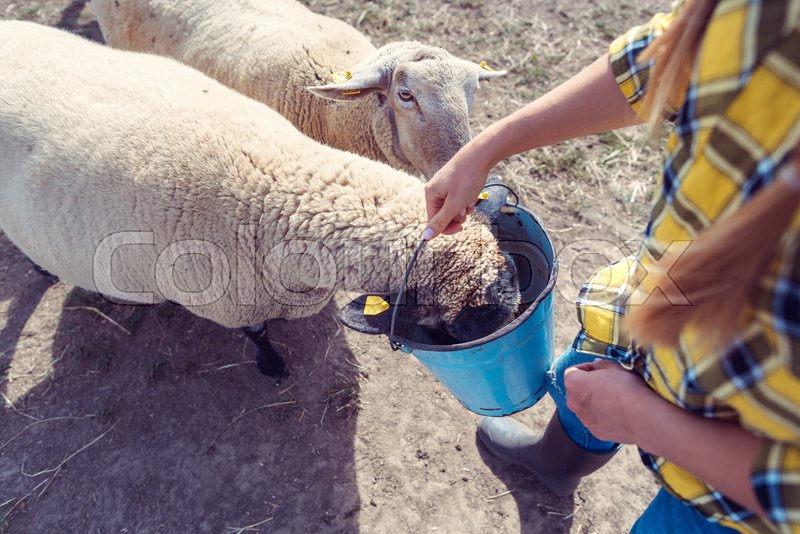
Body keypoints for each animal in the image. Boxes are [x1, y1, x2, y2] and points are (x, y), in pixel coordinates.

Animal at [0, 21, 520, 382]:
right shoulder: (230, 303)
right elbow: (257, 334)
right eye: (454, 332)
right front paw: (272, 365)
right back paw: (43, 270)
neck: (282, 184)